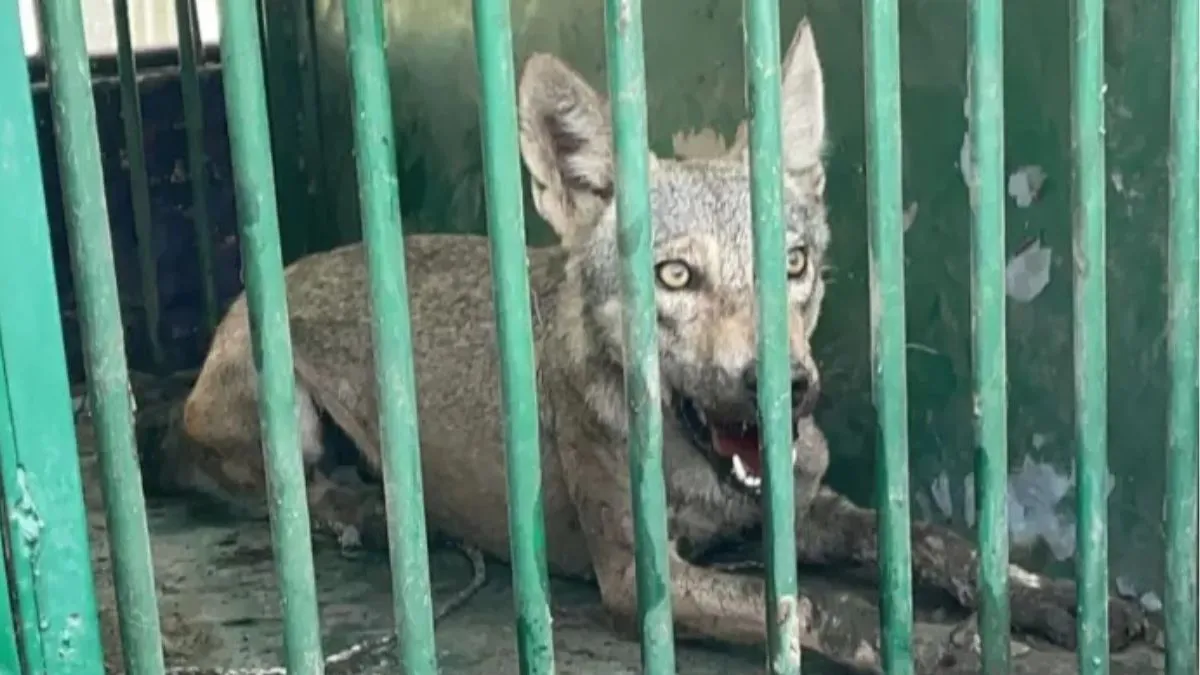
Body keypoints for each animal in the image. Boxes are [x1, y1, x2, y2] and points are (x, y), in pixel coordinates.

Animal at [147, 19, 1148, 672]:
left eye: (793, 263)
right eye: (674, 276)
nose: (786, 386)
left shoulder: (811, 507)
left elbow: (936, 543)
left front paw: (1061, 598)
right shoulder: (645, 579)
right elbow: (818, 609)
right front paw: (940, 644)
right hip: (284, 417)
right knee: (277, 488)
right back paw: (363, 508)